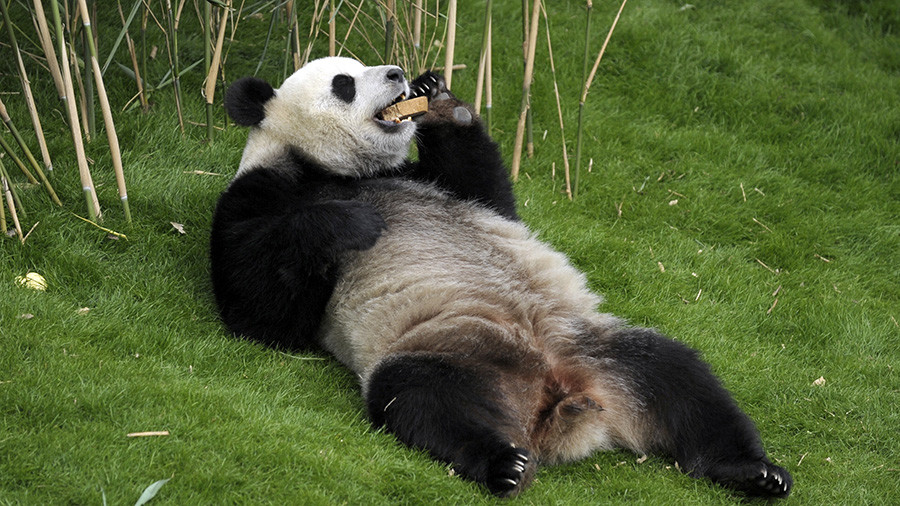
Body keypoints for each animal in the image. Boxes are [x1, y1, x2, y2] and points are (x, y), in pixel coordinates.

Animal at [211, 57, 792, 499]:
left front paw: (440, 98)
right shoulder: (261, 192)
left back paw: (755, 471)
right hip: (450, 347)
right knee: (426, 400)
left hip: (596, 345)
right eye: (344, 83)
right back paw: (505, 465)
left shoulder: (439, 181)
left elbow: (491, 193)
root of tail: (559, 398)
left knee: (682, 379)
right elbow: (259, 309)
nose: (397, 73)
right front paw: (350, 222)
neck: (348, 172)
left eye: (364, 65)